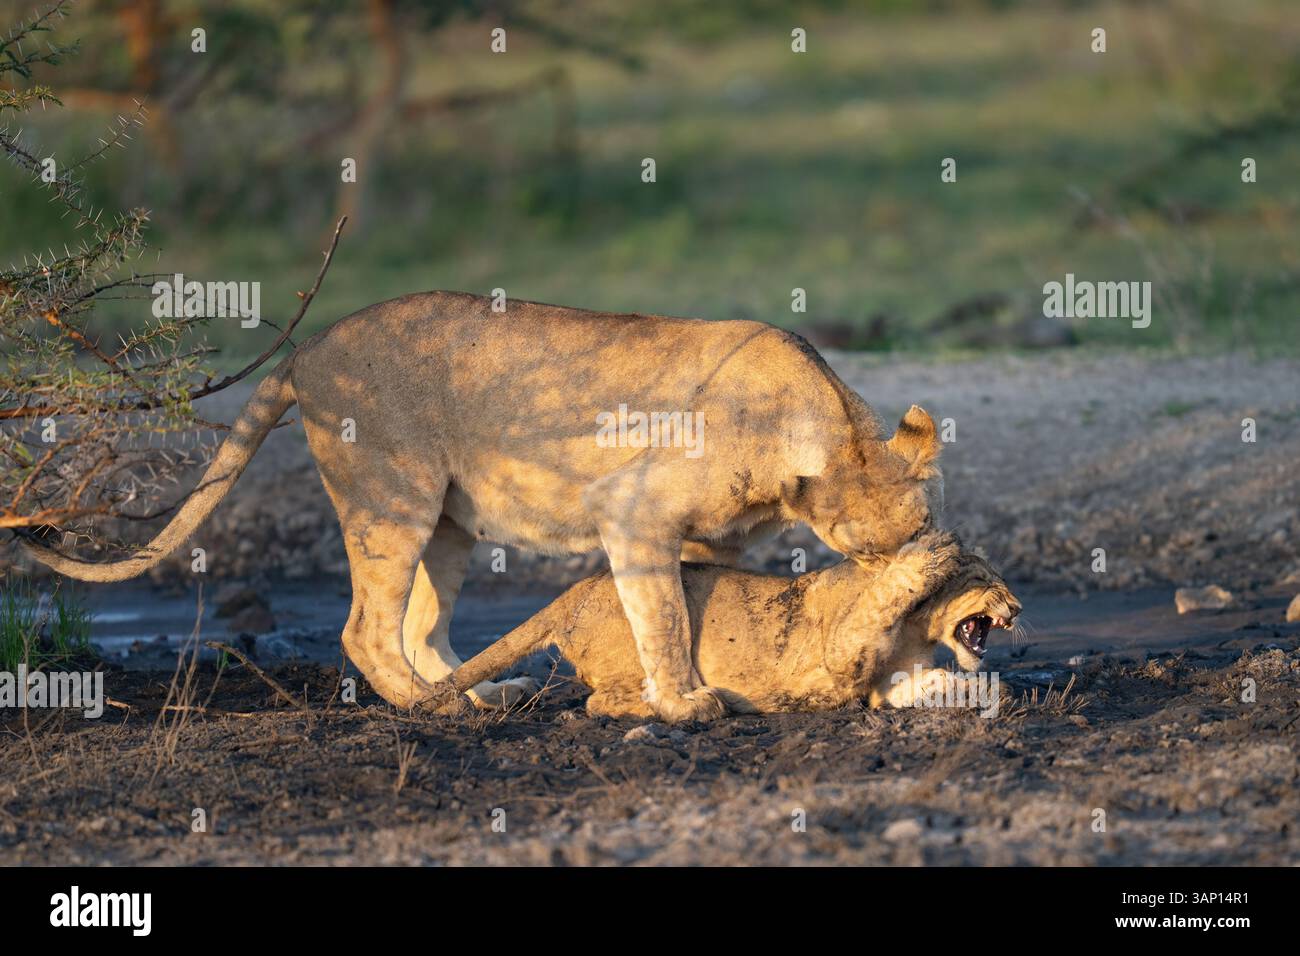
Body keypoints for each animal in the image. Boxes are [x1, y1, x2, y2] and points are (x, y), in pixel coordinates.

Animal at [22, 292, 943, 721]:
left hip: (449, 519)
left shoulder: (710, 541)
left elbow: (693, 609)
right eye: (878, 550)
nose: (918, 562)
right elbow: (660, 616)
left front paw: (686, 684)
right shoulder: (632, 513)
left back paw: (476, 692)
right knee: (367, 628)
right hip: (393, 495)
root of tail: (308, 345)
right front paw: (683, 701)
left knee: (422, 626)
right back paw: (432, 707)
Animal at [440, 531, 1020, 717]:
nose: (1016, 609)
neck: (918, 628)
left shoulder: (891, 682)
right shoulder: (838, 649)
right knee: (599, 702)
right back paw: (701, 702)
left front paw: (994, 693)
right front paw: (929, 553)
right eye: (987, 578)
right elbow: (884, 594)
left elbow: (943, 683)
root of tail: (573, 591)